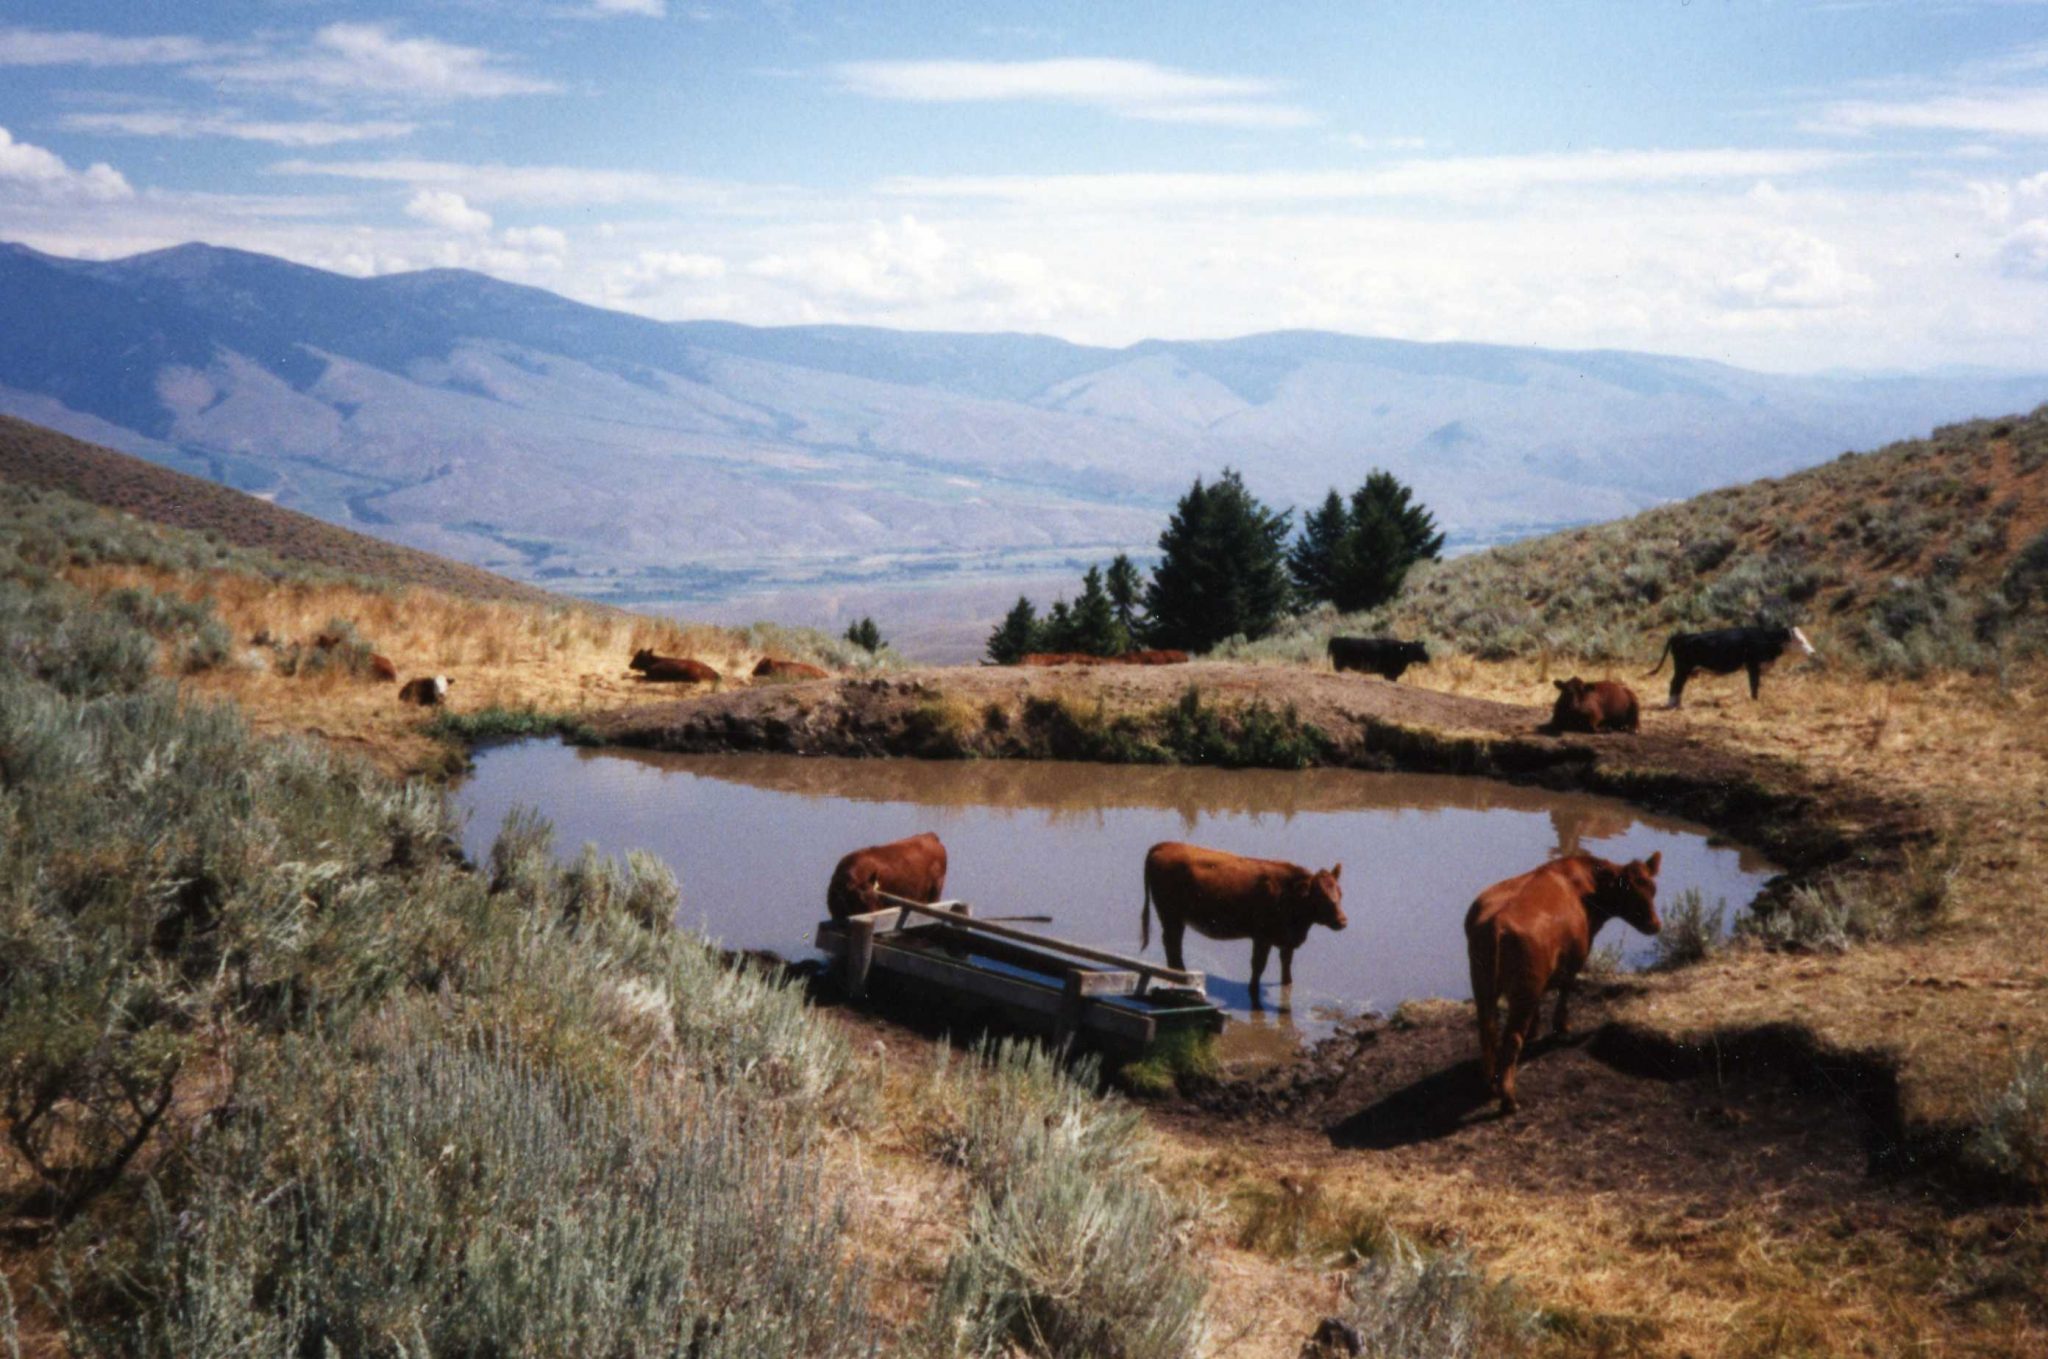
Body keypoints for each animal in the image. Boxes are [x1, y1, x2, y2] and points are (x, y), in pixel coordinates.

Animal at [1141, 842, 1345, 1010]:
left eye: (1340, 892)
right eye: (1320, 896)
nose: (1342, 920)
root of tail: (1165, 844)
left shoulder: (1286, 941)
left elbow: (1286, 969)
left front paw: (1286, 987)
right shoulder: (1262, 938)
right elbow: (1258, 966)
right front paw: (1253, 991)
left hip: (1176, 919)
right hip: (1170, 916)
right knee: (1172, 945)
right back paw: (1182, 976)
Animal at [1465, 851, 1662, 1115]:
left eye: (1652, 888)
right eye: (1628, 890)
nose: (1655, 925)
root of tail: (1497, 922)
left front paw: (1536, 1028)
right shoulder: (1577, 955)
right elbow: (1566, 988)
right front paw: (1562, 1026)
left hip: (1482, 983)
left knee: (1486, 1031)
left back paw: (1490, 1085)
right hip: (1523, 991)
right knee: (1511, 1039)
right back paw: (1509, 1100)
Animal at [1645, 625, 1815, 709]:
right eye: (1800, 640)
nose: (1812, 652)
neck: (1765, 638)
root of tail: (1680, 635)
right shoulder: (1752, 666)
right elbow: (1754, 685)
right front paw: (1755, 701)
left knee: (1678, 684)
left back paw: (1678, 704)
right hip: (1683, 668)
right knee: (1675, 683)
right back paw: (1673, 705)